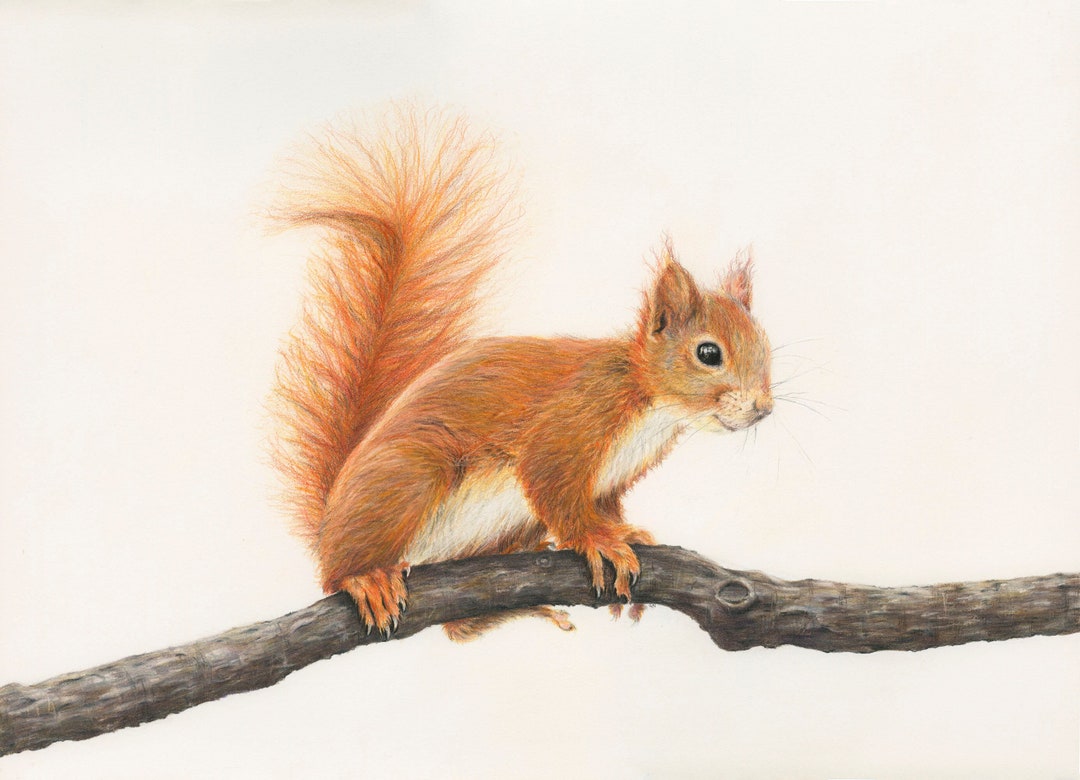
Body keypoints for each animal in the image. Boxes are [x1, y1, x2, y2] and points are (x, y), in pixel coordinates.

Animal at [271, 109, 773, 641]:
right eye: (708, 353)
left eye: (765, 346)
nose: (764, 408)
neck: (648, 403)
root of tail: (329, 518)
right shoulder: (573, 420)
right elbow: (552, 483)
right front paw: (598, 540)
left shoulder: (610, 480)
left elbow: (605, 505)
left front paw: (625, 531)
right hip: (405, 478)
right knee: (337, 570)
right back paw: (365, 578)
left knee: (458, 627)